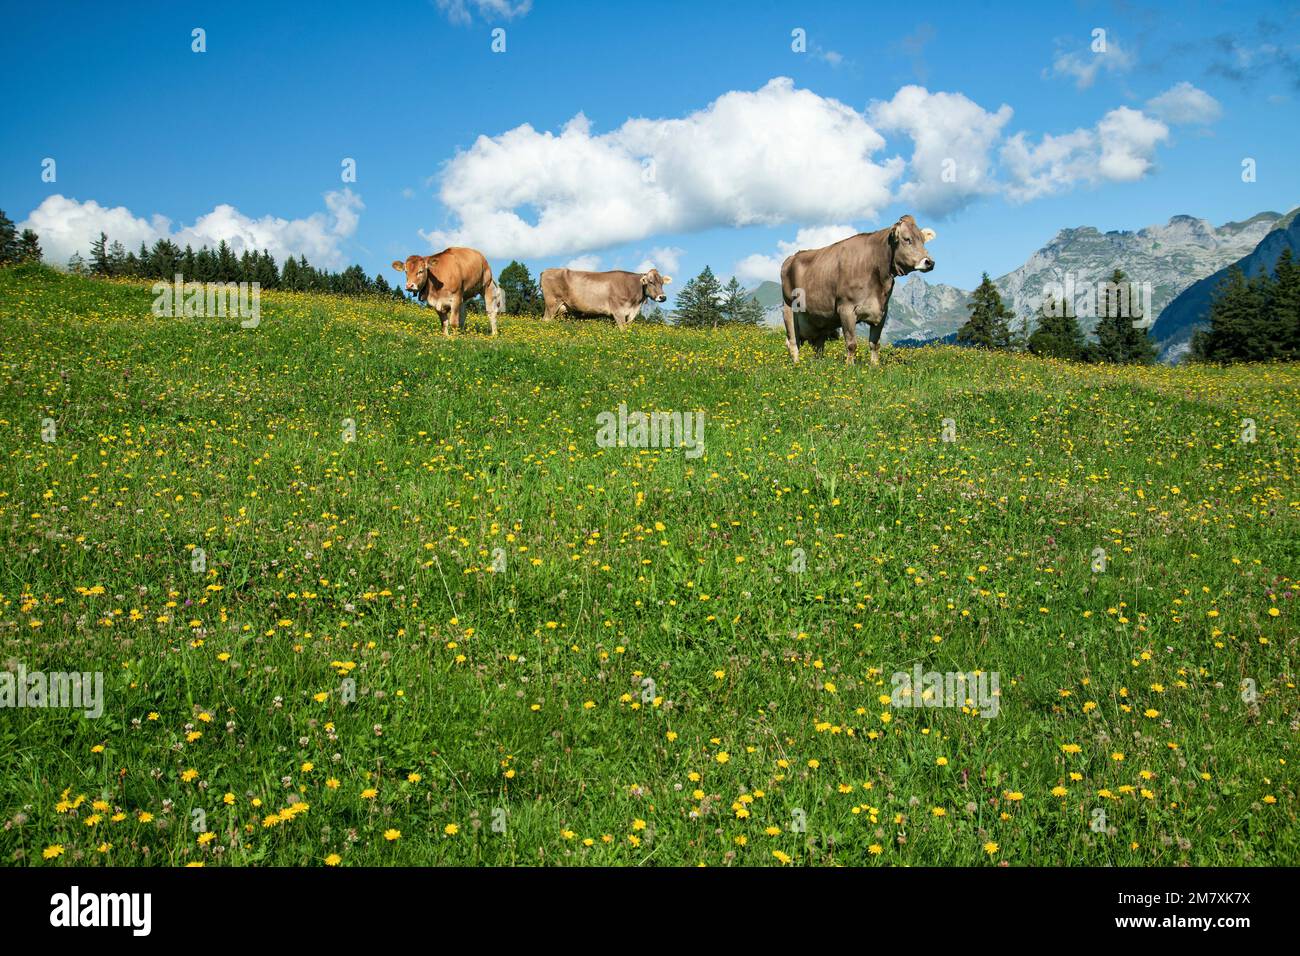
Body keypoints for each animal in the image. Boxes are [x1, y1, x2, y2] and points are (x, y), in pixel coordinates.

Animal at [539, 268, 672, 328]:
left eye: (662, 283)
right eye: (650, 282)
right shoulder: (618, 311)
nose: (662, 297)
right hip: (552, 303)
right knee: (545, 320)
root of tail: (546, 271)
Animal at [781, 215, 936, 366]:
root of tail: (791, 258)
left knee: (818, 346)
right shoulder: (846, 308)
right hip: (788, 307)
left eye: (923, 241)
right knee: (793, 342)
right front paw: (850, 366)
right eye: (907, 239)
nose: (930, 262)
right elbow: (851, 344)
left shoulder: (882, 311)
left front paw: (875, 366)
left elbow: (874, 344)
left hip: (819, 320)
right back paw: (797, 365)